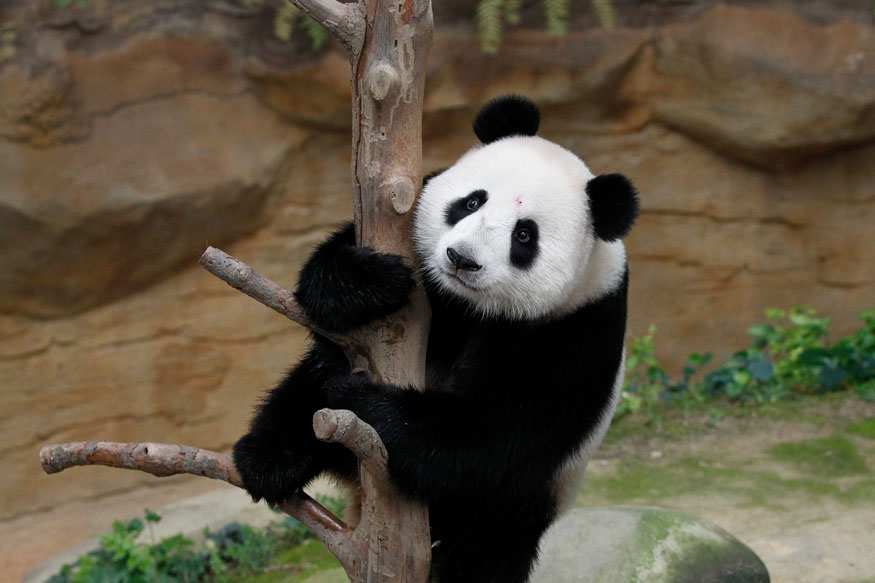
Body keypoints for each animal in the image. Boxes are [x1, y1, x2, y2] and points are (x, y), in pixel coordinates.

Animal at [233, 95, 639, 583]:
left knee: (487, 548)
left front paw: (363, 402)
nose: (461, 259)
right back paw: (270, 460)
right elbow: (329, 300)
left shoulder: (575, 330)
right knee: (302, 394)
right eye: (472, 201)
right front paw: (367, 281)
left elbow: (492, 436)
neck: (468, 305)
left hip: (524, 502)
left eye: (524, 235)